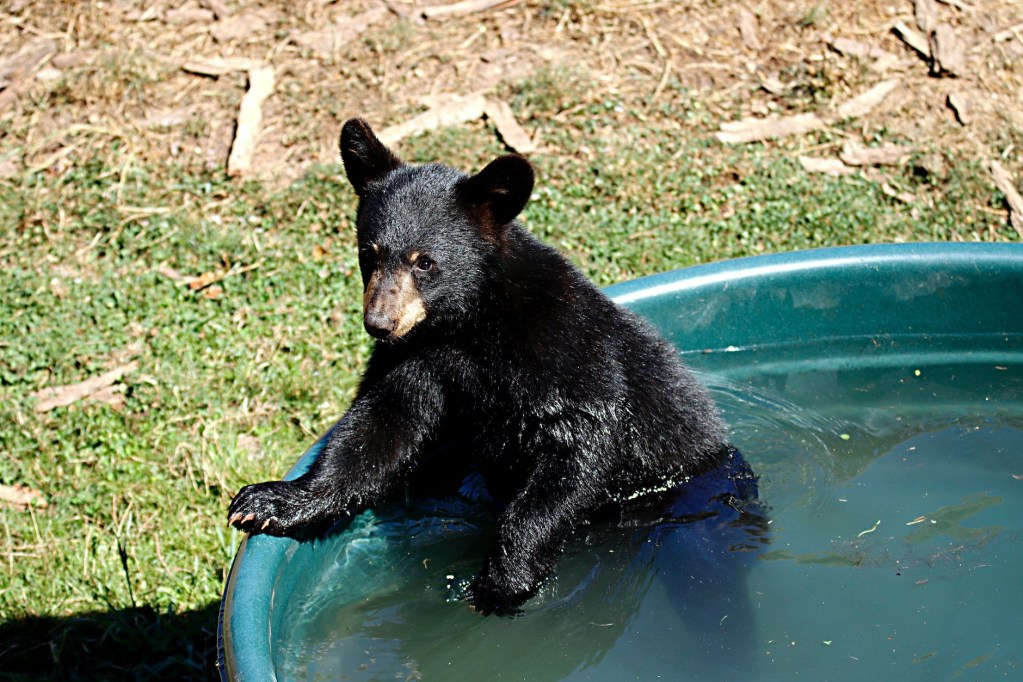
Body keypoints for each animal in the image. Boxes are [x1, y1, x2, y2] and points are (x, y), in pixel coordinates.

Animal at [228, 118, 755, 615]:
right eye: (368, 253)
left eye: (425, 262)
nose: (379, 323)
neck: (468, 324)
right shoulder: (418, 359)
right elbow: (379, 429)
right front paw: (270, 502)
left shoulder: (564, 349)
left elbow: (578, 445)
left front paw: (503, 578)